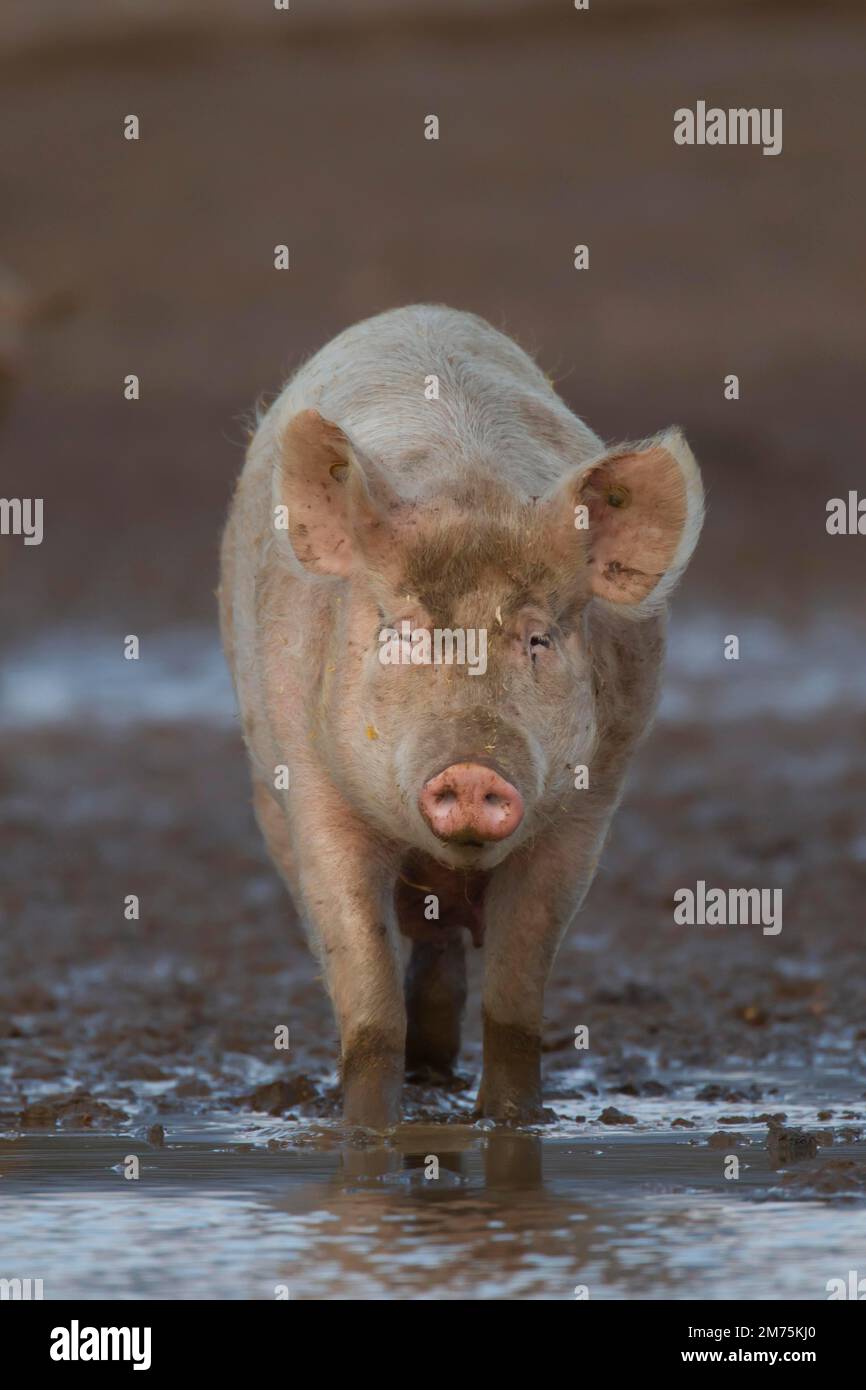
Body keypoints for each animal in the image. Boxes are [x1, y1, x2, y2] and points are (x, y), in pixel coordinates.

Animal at [219, 305, 703, 1128]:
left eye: (539, 639)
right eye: (404, 632)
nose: (474, 769)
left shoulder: (589, 803)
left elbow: (516, 994)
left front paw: (511, 1122)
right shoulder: (311, 787)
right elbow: (365, 994)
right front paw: (371, 1130)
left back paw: (437, 1070)